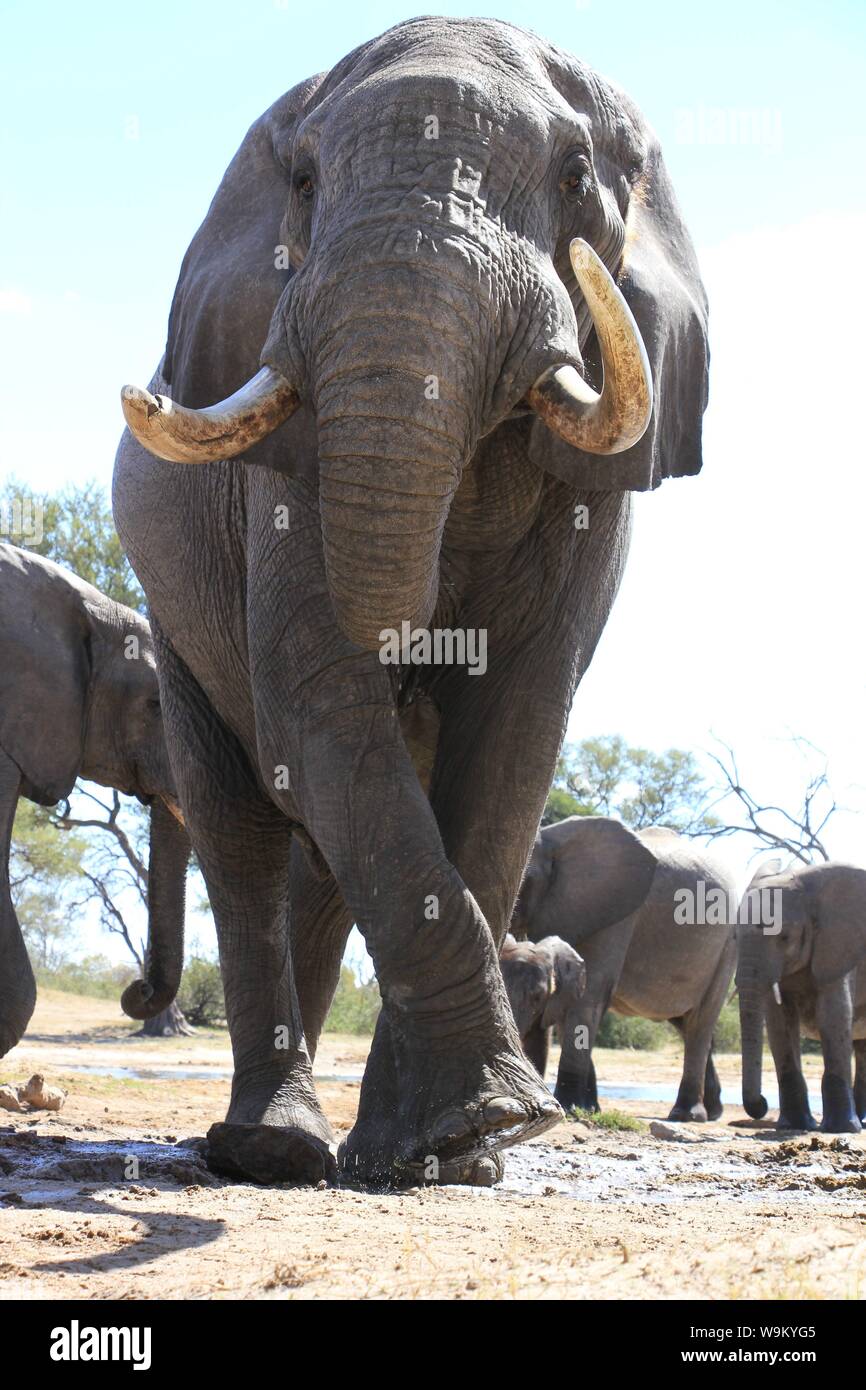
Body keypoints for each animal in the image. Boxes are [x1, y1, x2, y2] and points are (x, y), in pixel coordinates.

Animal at [512, 817, 738, 1121]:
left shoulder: (620, 913)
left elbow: (589, 996)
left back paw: (686, 1115)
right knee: (685, 1023)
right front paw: (588, 1108)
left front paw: (571, 1107)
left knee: (700, 1021)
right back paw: (713, 1112)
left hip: (727, 946)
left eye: (524, 881)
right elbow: (574, 998)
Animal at [737, 860, 866, 1134]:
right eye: (734, 937)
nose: (762, 1104)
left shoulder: (838, 948)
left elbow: (833, 1016)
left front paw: (840, 1129)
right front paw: (793, 1126)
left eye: (785, 937)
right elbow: (779, 1023)